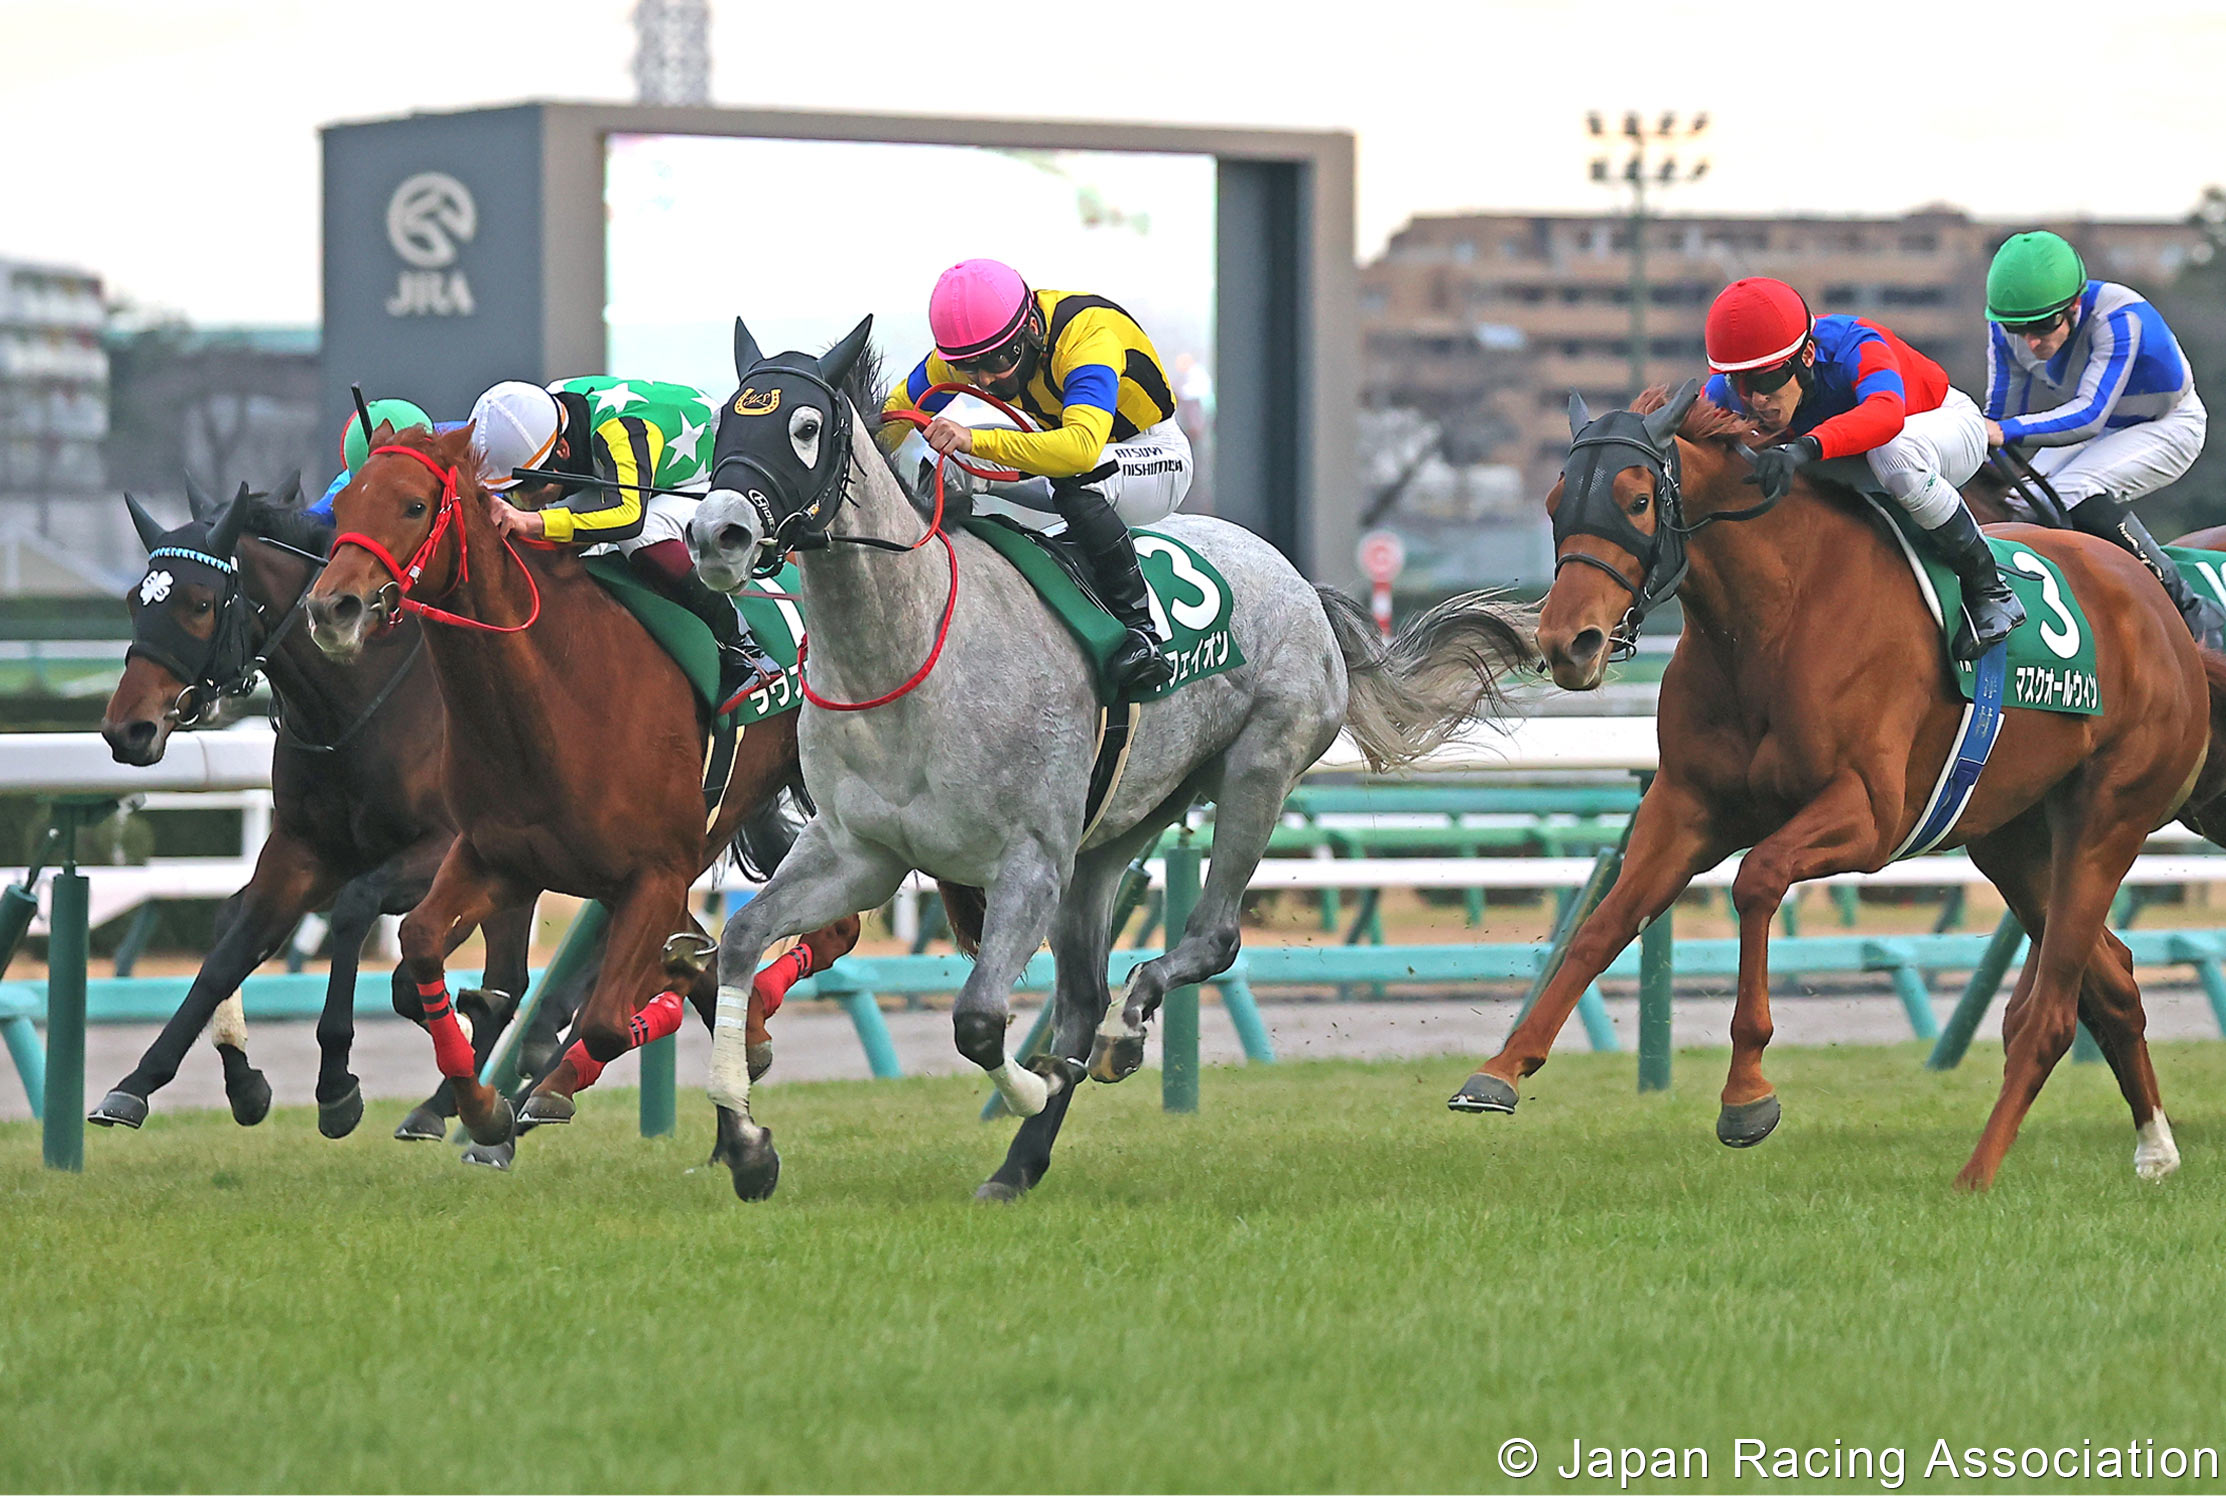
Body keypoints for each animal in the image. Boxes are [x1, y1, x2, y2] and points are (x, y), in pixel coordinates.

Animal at [92, 476, 536, 1139]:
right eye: (132, 601)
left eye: (199, 603)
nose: (128, 729)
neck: (361, 704)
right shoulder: (305, 850)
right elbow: (226, 950)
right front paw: (149, 1083)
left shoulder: (440, 848)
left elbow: (355, 912)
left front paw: (335, 1084)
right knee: (506, 979)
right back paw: (446, 1102)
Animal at [303, 421, 859, 1156]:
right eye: (342, 509)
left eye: (414, 506)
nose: (329, 609)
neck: (555, 696)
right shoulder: (498, 857)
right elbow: (417, 949)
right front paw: (478, 1104)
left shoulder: (655, 870)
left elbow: (604, 1021)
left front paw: (545, 1088)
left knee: (837, 929)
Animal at [683, 315, 1536, 1202]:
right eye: (723, 421)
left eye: (804, 426)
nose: (718, 535)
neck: (911, 653)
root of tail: (1299, 581)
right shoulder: (860, 852)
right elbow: (740, 942)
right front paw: (746, 1143)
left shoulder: (1027, 861)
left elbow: (978, 1021)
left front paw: (1037, 1084)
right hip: (1114, 832)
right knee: (1084, 995)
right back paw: (1022, 1159)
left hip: (1256, 769)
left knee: (1209, 940)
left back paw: (1120, 1035)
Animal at [1450, 381, 2226, 1190]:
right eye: (1555, 500)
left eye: (1635, 500)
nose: (1568, 643)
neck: (1776, 613)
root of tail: (2161, 610)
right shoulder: (1688, 804)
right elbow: (1606, 922)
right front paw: (1502, 1068)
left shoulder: (1868, 815)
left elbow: (1757, 880)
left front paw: (1746, 1096)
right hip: (2016, 841)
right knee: (2110, 981)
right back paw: (2154, 1146)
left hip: (2106, 819)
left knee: (2049, 1013)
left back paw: (1977, 1175)